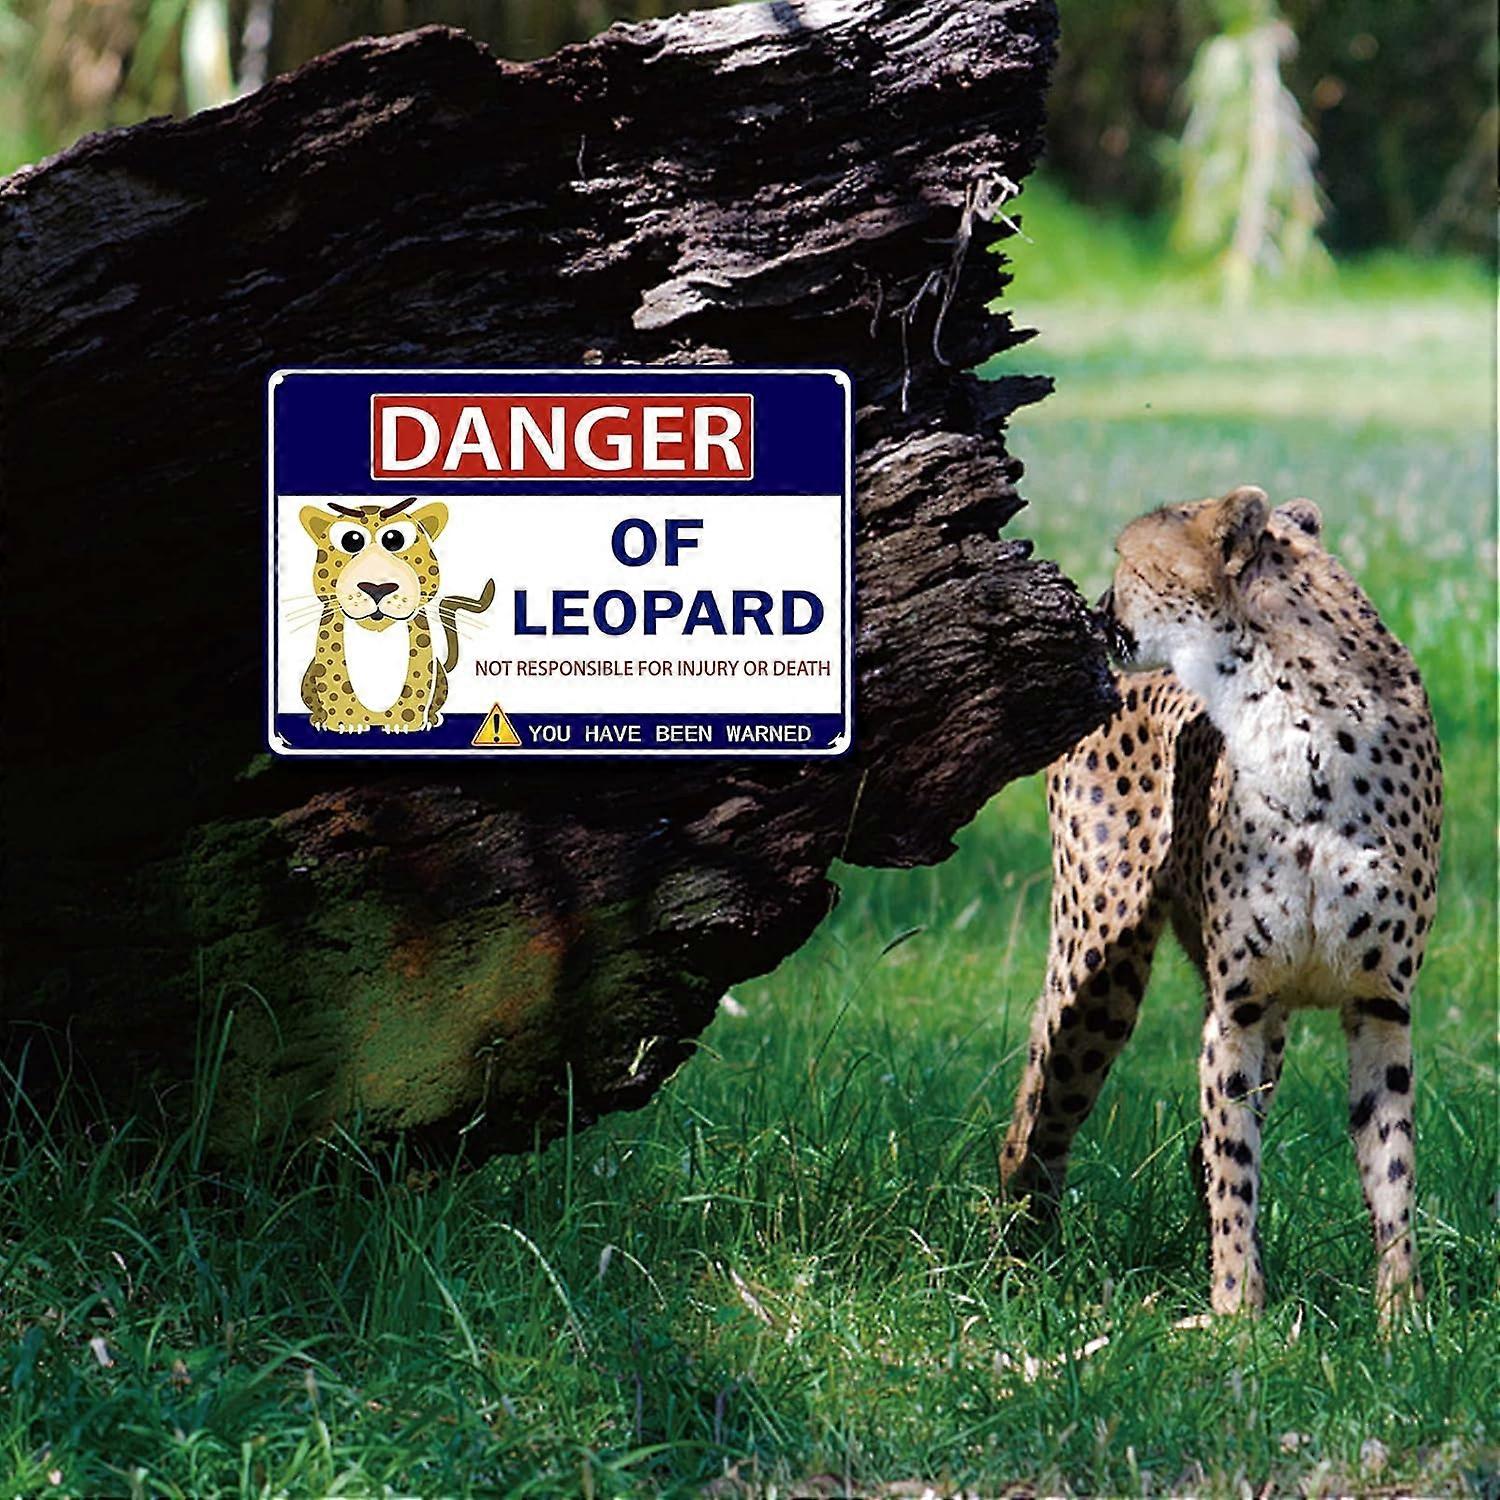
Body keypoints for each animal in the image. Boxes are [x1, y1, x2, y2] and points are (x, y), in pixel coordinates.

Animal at [298, 498, 494, 734]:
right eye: (351, 541)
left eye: (394, 540)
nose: (377, 587)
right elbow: (337, 689)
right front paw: (347, 723)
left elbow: (415, 692)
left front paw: (402, 724)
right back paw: (319, 718)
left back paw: (430, 719)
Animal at [999, 485, 1443, 1320]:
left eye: (1128, 558)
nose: (1096, 611)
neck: (1300, 721)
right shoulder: (1239, 1010)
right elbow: (1236, 1168)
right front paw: (1237, 1314)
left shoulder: (1379, 1008)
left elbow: (1392, 1173)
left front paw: (1403, 1317)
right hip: (1097, 974)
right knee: (1037, 1118)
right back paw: (1016, 1263)